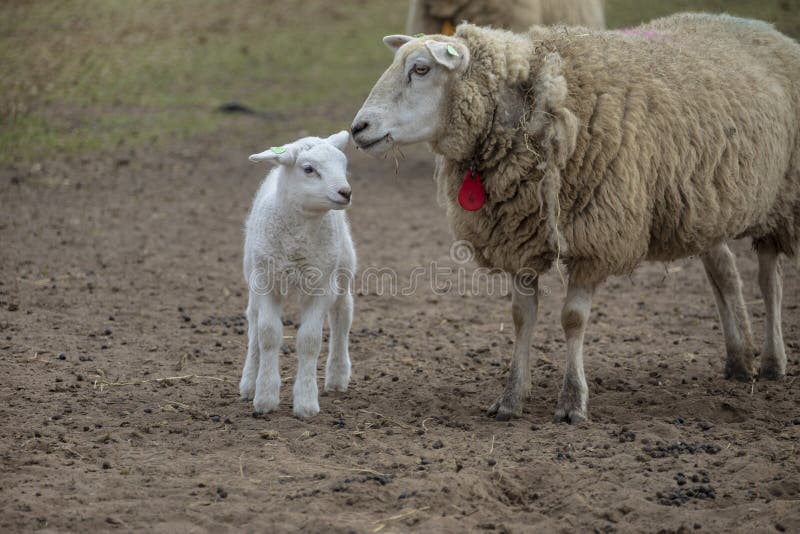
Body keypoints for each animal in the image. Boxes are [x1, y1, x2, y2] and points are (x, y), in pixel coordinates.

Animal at [240, 131, 356, 418]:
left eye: (343, 165)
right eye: (308, 169)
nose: (345, 192)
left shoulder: (321, 287)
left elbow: (310, 341)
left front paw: (305, 403)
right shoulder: (266, 285)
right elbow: (268, 335)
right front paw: (265, 397)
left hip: (342, 271)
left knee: (342, 316)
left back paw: (337, 375)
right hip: (254, 275)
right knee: (253, 323)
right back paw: (249, 382)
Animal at [351, 14, 800, 423]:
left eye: (420, 69)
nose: (358, 127)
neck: (535, 105)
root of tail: (766, 28)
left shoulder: (595, 237)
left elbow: (572, 319)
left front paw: (572, 401)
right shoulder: (520, 236)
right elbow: (521, 317)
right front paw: (511, 398)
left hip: (781, 200)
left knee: (769, 279)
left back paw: (773, 360)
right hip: (704, 204)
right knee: (724, 271)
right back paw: (739, 360)